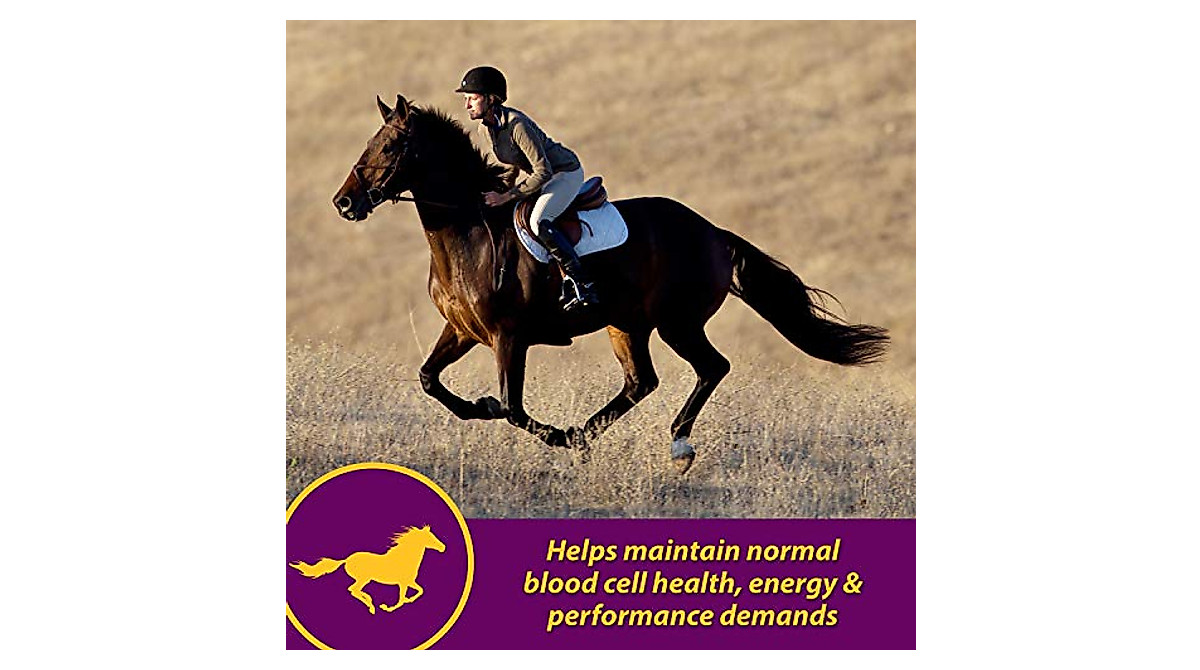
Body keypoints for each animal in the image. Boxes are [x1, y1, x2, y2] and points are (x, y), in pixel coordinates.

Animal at [290, 525, 446, 614]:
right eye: (430, 538)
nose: (443, 547)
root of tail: (347, 559)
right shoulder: (402, 583)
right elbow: (401, 599)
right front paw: (388, 607)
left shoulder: (409, 582)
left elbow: (420, 591)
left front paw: (408, 600)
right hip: (364, 578)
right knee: (353, 590)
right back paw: (371, 605)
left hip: (364, 579)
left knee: (353, 590)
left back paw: (370, 602)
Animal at [332, 94, 889, 473]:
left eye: (390, 146)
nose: (344, 202)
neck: (468, 231)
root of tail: (712, 232)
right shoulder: (464, 330)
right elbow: (430, 380)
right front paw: (482, 410)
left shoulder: (508, 337)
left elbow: (510, 407)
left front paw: (514, 417)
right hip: (627, 324)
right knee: (642, 382)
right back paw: (588, 437)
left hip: (677, 322)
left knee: (711, 367)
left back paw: (674, 445)